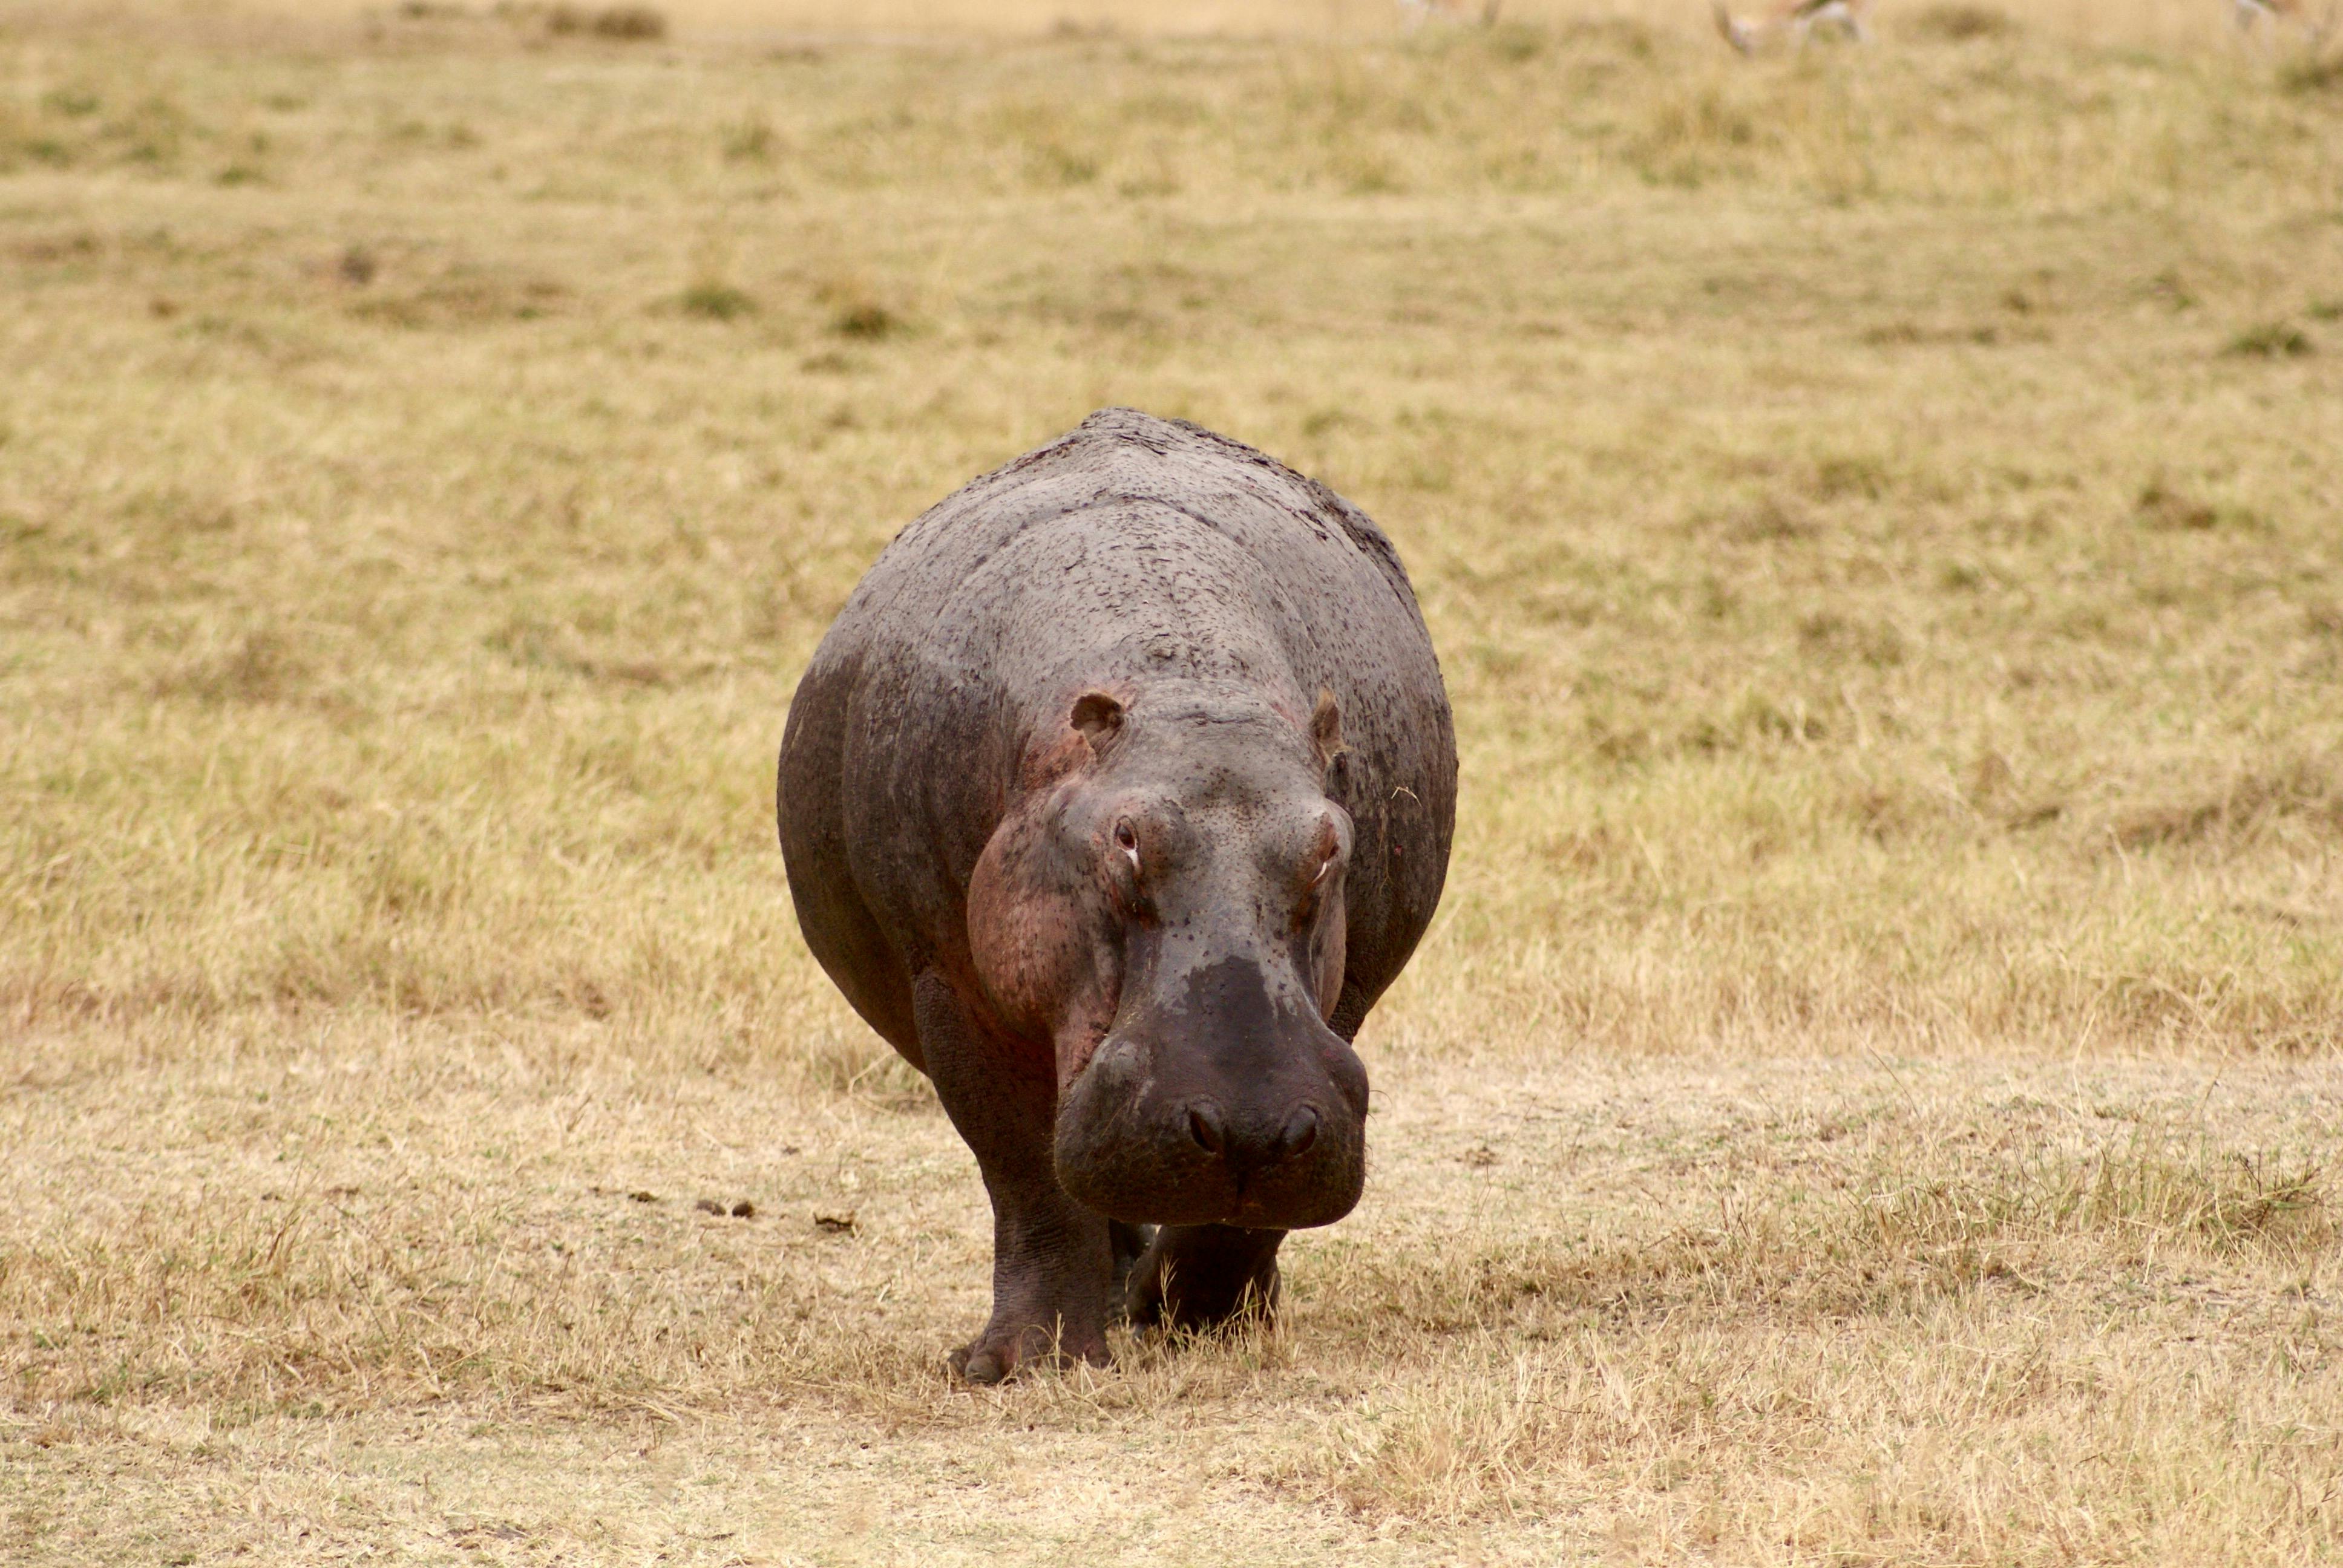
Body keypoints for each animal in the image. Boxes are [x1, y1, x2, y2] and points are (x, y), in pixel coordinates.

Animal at [776, 408, 1456, 1382]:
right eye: (1125, 838)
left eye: (1331, 846)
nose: (1249, 1128)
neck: (1187, 682)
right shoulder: (950, 985)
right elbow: (1025, 1170)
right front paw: (1023, 1363)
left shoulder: (1346, 996)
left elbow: (1232, 1217)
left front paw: (1197, 1320)